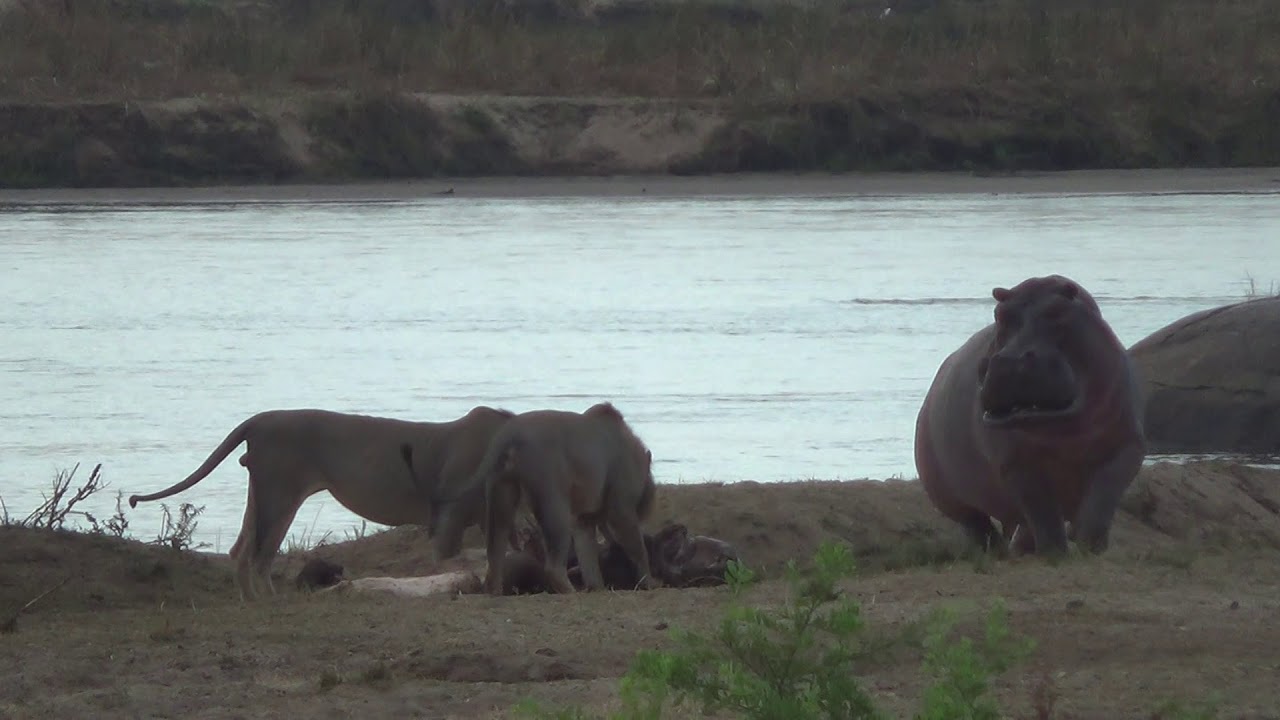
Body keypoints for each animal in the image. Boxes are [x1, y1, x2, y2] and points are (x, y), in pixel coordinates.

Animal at [126, 406, 514, 601]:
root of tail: (261, 418)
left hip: (266, 494)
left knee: (241, 550)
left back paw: (250, 601)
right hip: (280, 493)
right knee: (259, 555)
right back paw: (269, 602)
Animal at [418, 401, 659, 596]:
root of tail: (509, 434)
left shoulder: (583, 519)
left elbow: (589, 558)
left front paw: (597, 588)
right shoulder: (621, 509)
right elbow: (639, 550)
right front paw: (650, 582)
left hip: (501, 492)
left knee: (494, 551)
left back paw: (495, 591)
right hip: (553, 499)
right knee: (553, 566)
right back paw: (571, 592)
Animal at [913, 274, 1146, 558]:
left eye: (1057, 312)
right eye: (998, 314)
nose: (1009, 361)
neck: (1066, 433)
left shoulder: (1128, 446)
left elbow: (1103, 498)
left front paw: (1091, 548)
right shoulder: (1016, 464)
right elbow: (1042, 511)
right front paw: (1056, 554)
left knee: (1021, 526)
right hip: (949, 497)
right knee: (978, 525)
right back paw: (994, 552)